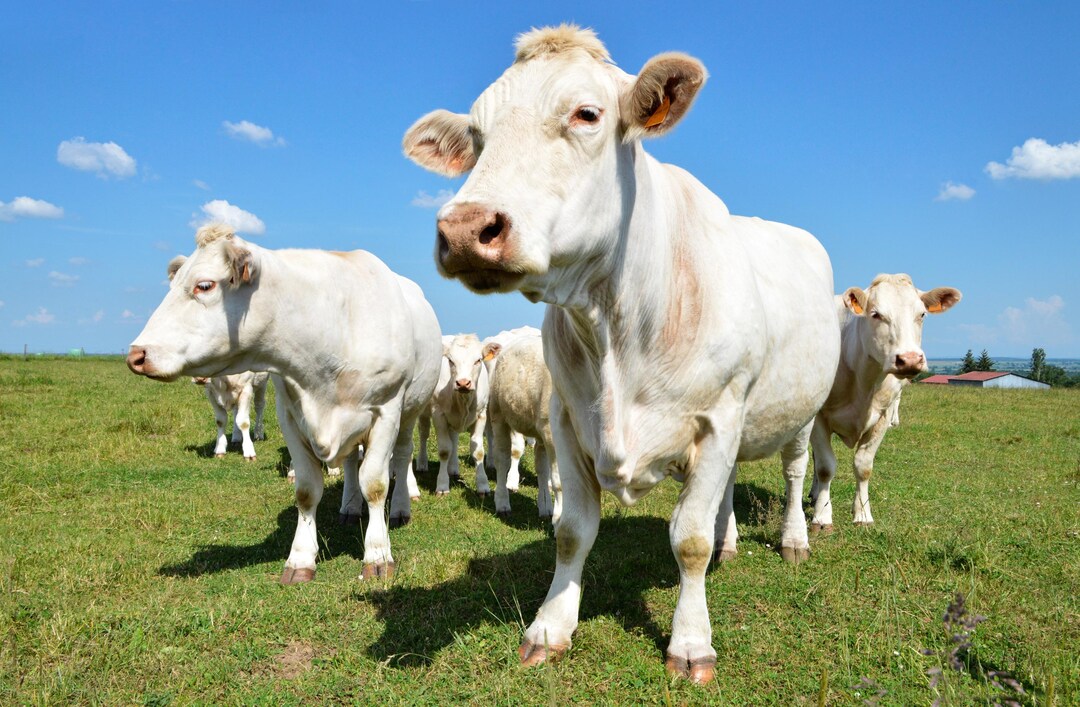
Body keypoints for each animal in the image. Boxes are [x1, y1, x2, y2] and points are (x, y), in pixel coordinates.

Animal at [128, 224, 442, 583]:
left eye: (204, 285)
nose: (136, 354)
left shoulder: (386, 411)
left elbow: (375, 484)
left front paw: (377, 555)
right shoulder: (290, 415)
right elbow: (306, 489)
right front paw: (300, 559)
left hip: (410, 411)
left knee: (401, 457)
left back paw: (402, 507)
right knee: (351, 462)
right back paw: (349, 506)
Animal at [416, 333, 492, 496]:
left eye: (478, 360)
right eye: (451, 360)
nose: (463, 383)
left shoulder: (481, 415)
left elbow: (478, 451)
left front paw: (483, 485)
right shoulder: (438, 414)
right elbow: (444, 450)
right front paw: (442, 485)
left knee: (454, 438)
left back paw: (453, 468)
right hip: (423, 411)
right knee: (423, 434)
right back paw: (422, 463)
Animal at [808, 274, 961, 531]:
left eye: (922, 314)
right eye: (876, 314)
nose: (910, 359)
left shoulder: (883, 415)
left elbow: (863, 466)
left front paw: (862, 513)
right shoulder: (818, 417)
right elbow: (825, 467)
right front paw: (822, 516)